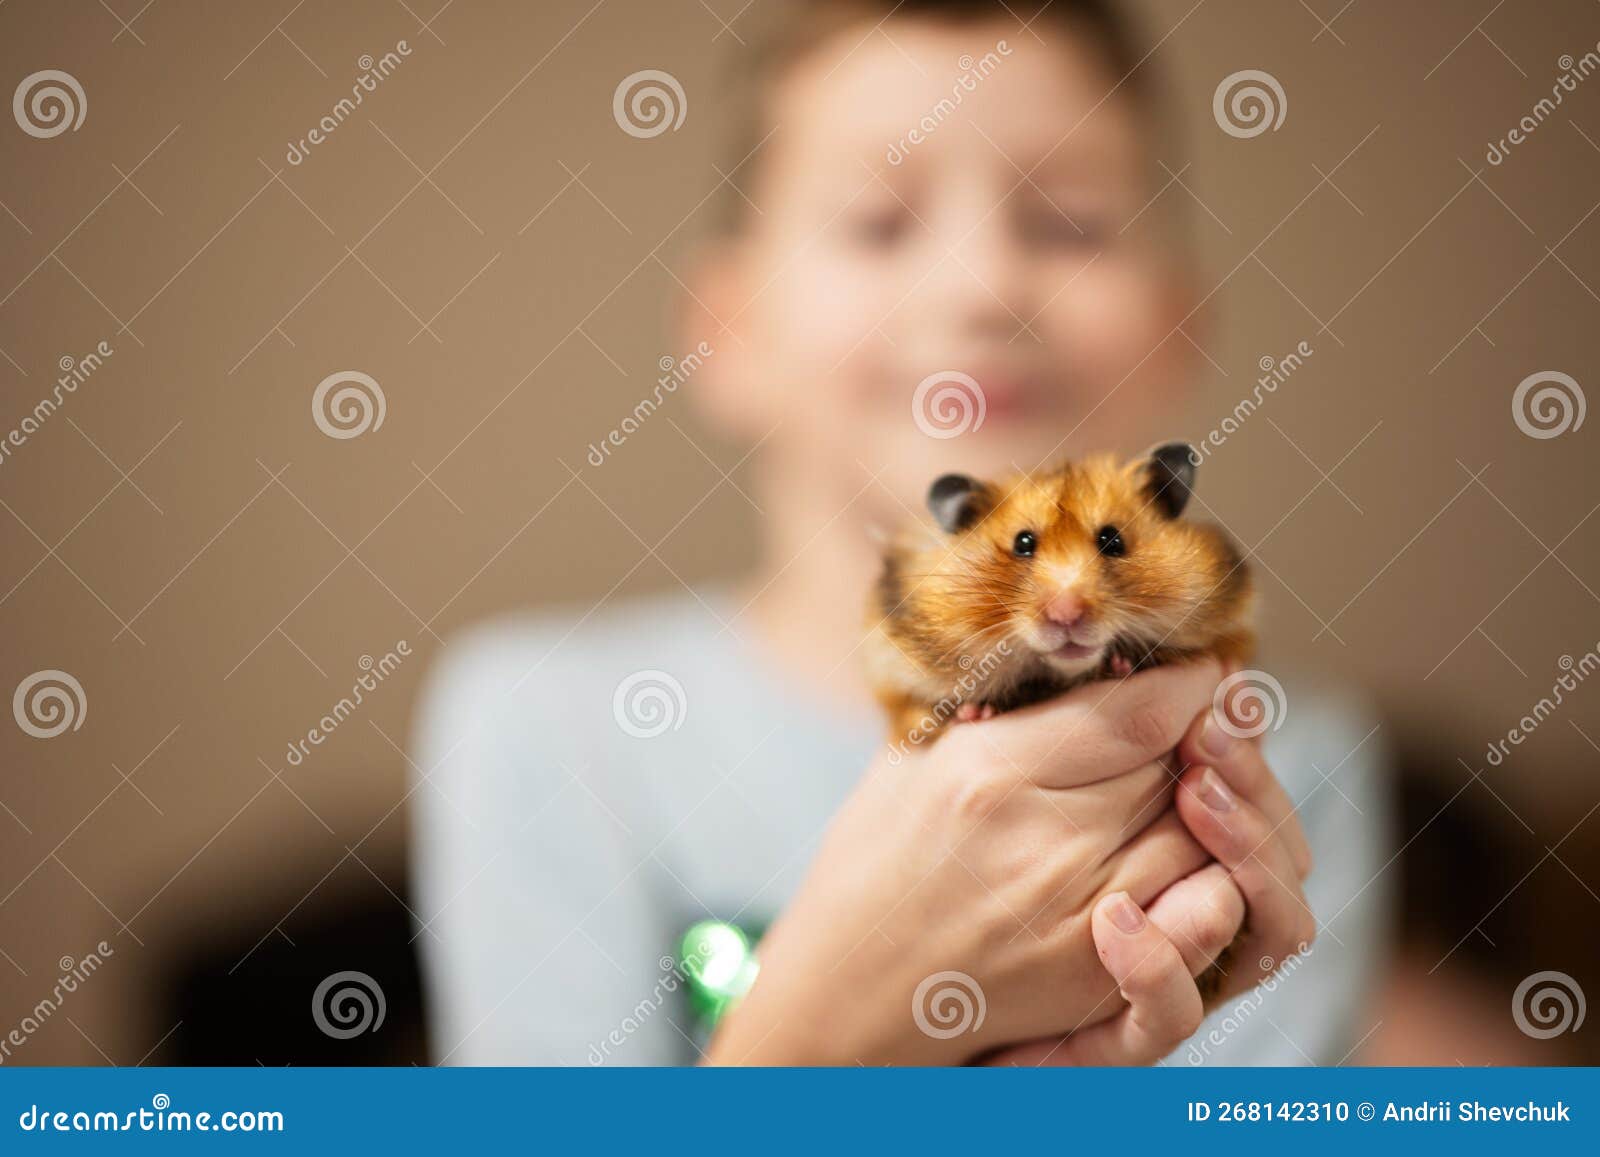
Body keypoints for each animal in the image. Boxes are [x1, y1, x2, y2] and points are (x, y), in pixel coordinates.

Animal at [866, 443, 1255, 747]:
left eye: (1112, 540)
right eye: (1022, 543)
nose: (1067, 615)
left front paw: (1121, 663)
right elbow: (912, 714)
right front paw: (974, 712)